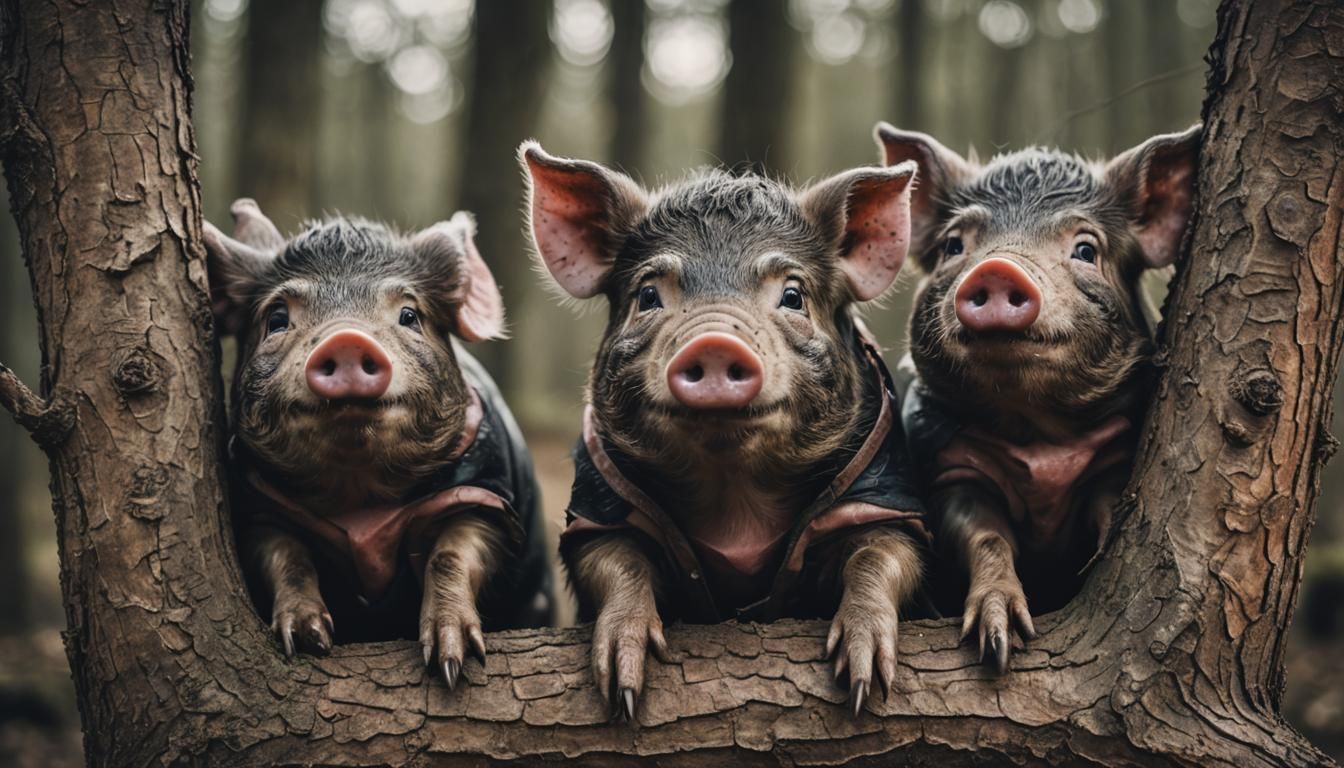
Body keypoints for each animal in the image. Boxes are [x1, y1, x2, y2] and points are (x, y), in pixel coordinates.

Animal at [202, 200, 553, 687]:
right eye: (276, 319)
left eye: (409, 316)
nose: (347, 339)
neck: (359, 494)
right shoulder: (258, 506)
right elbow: (284, 555)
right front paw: (307, 639)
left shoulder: (485, 492)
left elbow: (452, 552)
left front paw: (452, 663)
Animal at [519, 142, 930, 721]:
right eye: (648, 295)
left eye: (793, 296)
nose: (714, 342)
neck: (735, 502)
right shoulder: (597, 505)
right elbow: (616, 563)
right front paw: (623, 687)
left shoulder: (883, 492)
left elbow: (883, 553)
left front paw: (863, 683)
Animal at [874, 122, 1201, 672]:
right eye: (954, 245)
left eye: (1086, 249)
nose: (998, 269)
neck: (1036, 435)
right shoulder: (952, 469)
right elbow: (985, 535)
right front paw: (999, 646)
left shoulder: (1114, 455)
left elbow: (1107, 506)